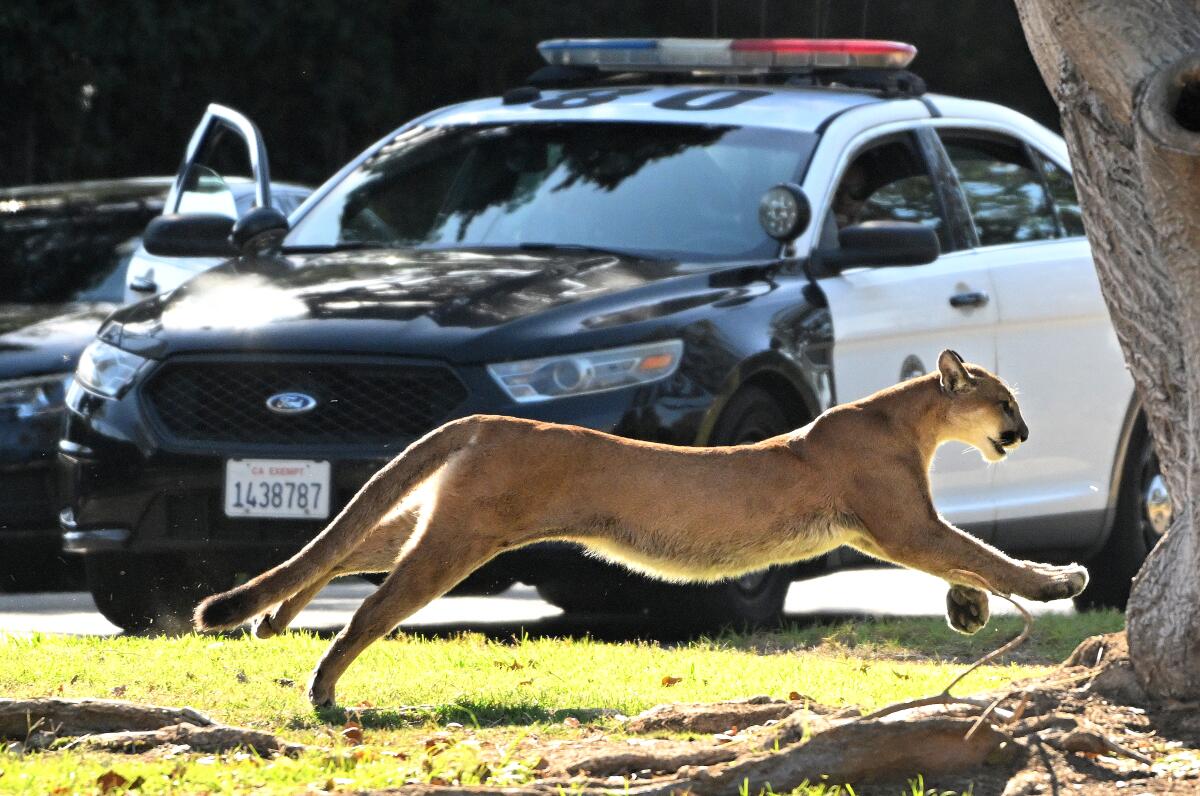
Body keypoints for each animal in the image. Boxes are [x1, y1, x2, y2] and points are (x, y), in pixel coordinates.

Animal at [195, 349, 1088, 707]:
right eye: (1004, 401)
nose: (1024, 433)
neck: (909, 420)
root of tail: (486, 417)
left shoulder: (889, 529)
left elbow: (964, 557)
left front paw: (968, 609)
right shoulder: (899, 522)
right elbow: (981, 551)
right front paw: (1053, 581)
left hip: (438, 519)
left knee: (346, 543)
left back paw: (267, 616)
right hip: (459, 540)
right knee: (374, 607)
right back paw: (322, 687)